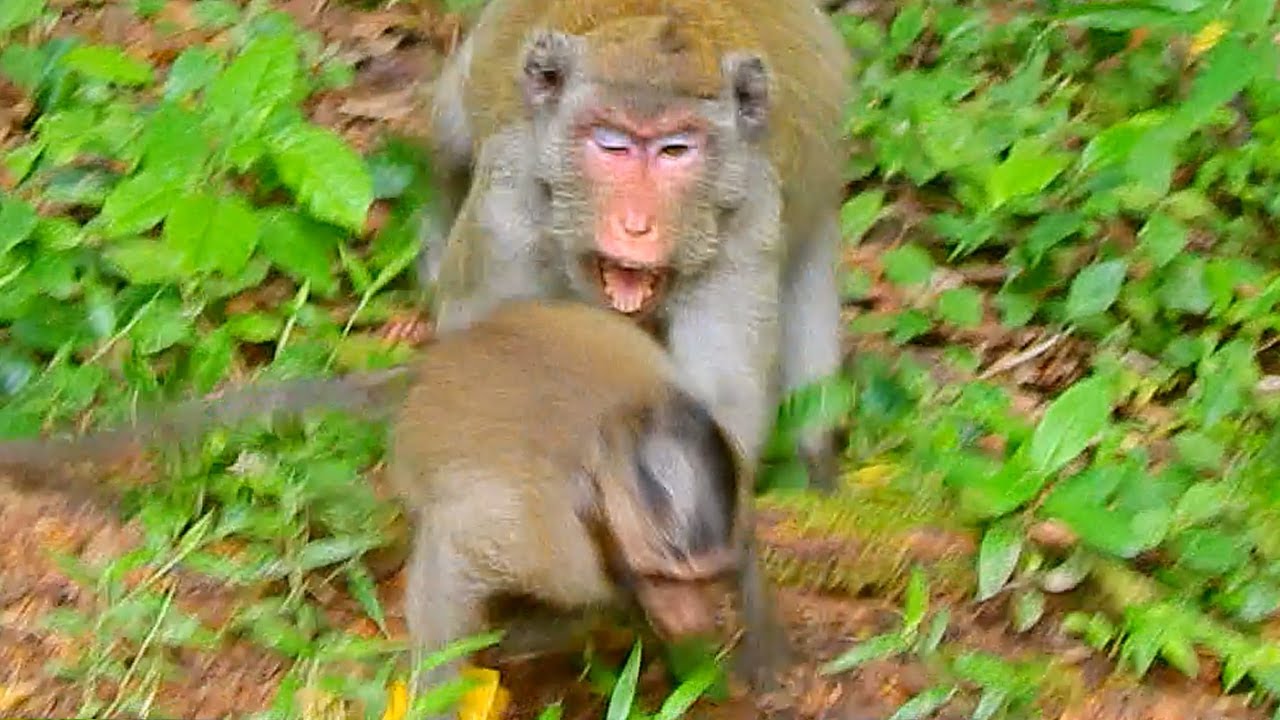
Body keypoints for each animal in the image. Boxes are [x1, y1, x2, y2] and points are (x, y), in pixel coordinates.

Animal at [0, 299, 790, 705]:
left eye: (705, 579)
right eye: (664, 576)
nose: (693, 616)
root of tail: (439, 363)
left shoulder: (729, 483)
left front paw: (760, 651)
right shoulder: (551, 541)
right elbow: (455, 556)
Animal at [416, 0, 854, 494]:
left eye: (675, 150)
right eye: (612, 144)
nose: (636, 225)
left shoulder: (747, 217)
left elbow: (719, 398)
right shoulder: (510, 199)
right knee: (450, 138)